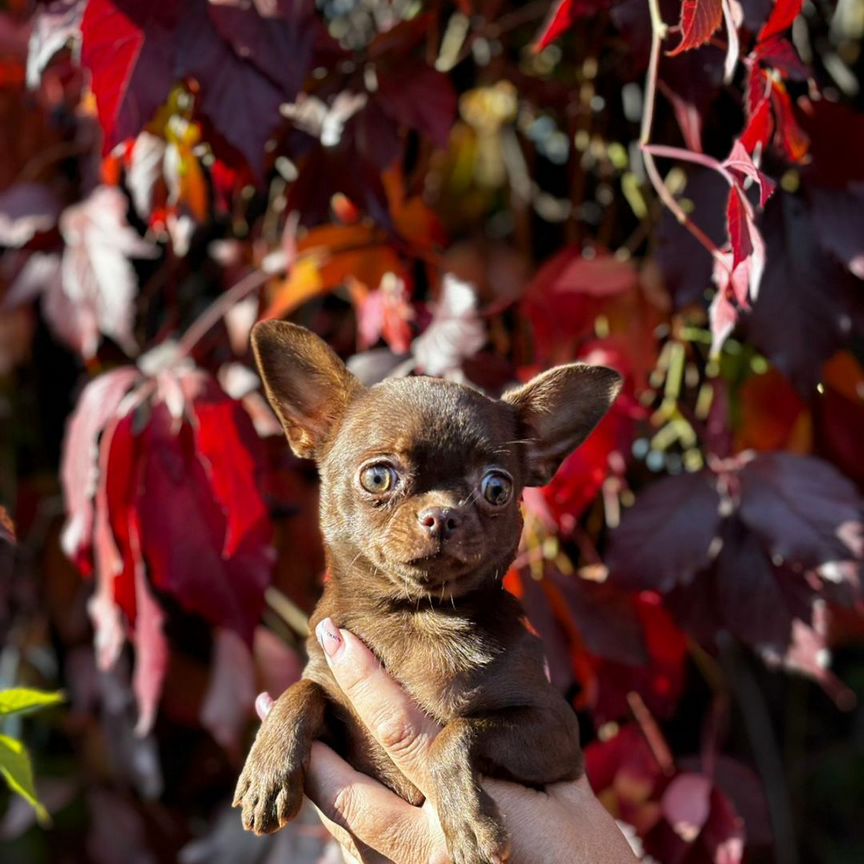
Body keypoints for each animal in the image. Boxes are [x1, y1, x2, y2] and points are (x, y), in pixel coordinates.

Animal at [231, 322, 620, 864]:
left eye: (497, 488)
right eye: (377, 477)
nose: (443, 514)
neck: (416, 614)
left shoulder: (556, 731)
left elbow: (454, 734)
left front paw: (469, 828)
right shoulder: (331, 694)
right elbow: (303, 689)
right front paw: (267, 769)